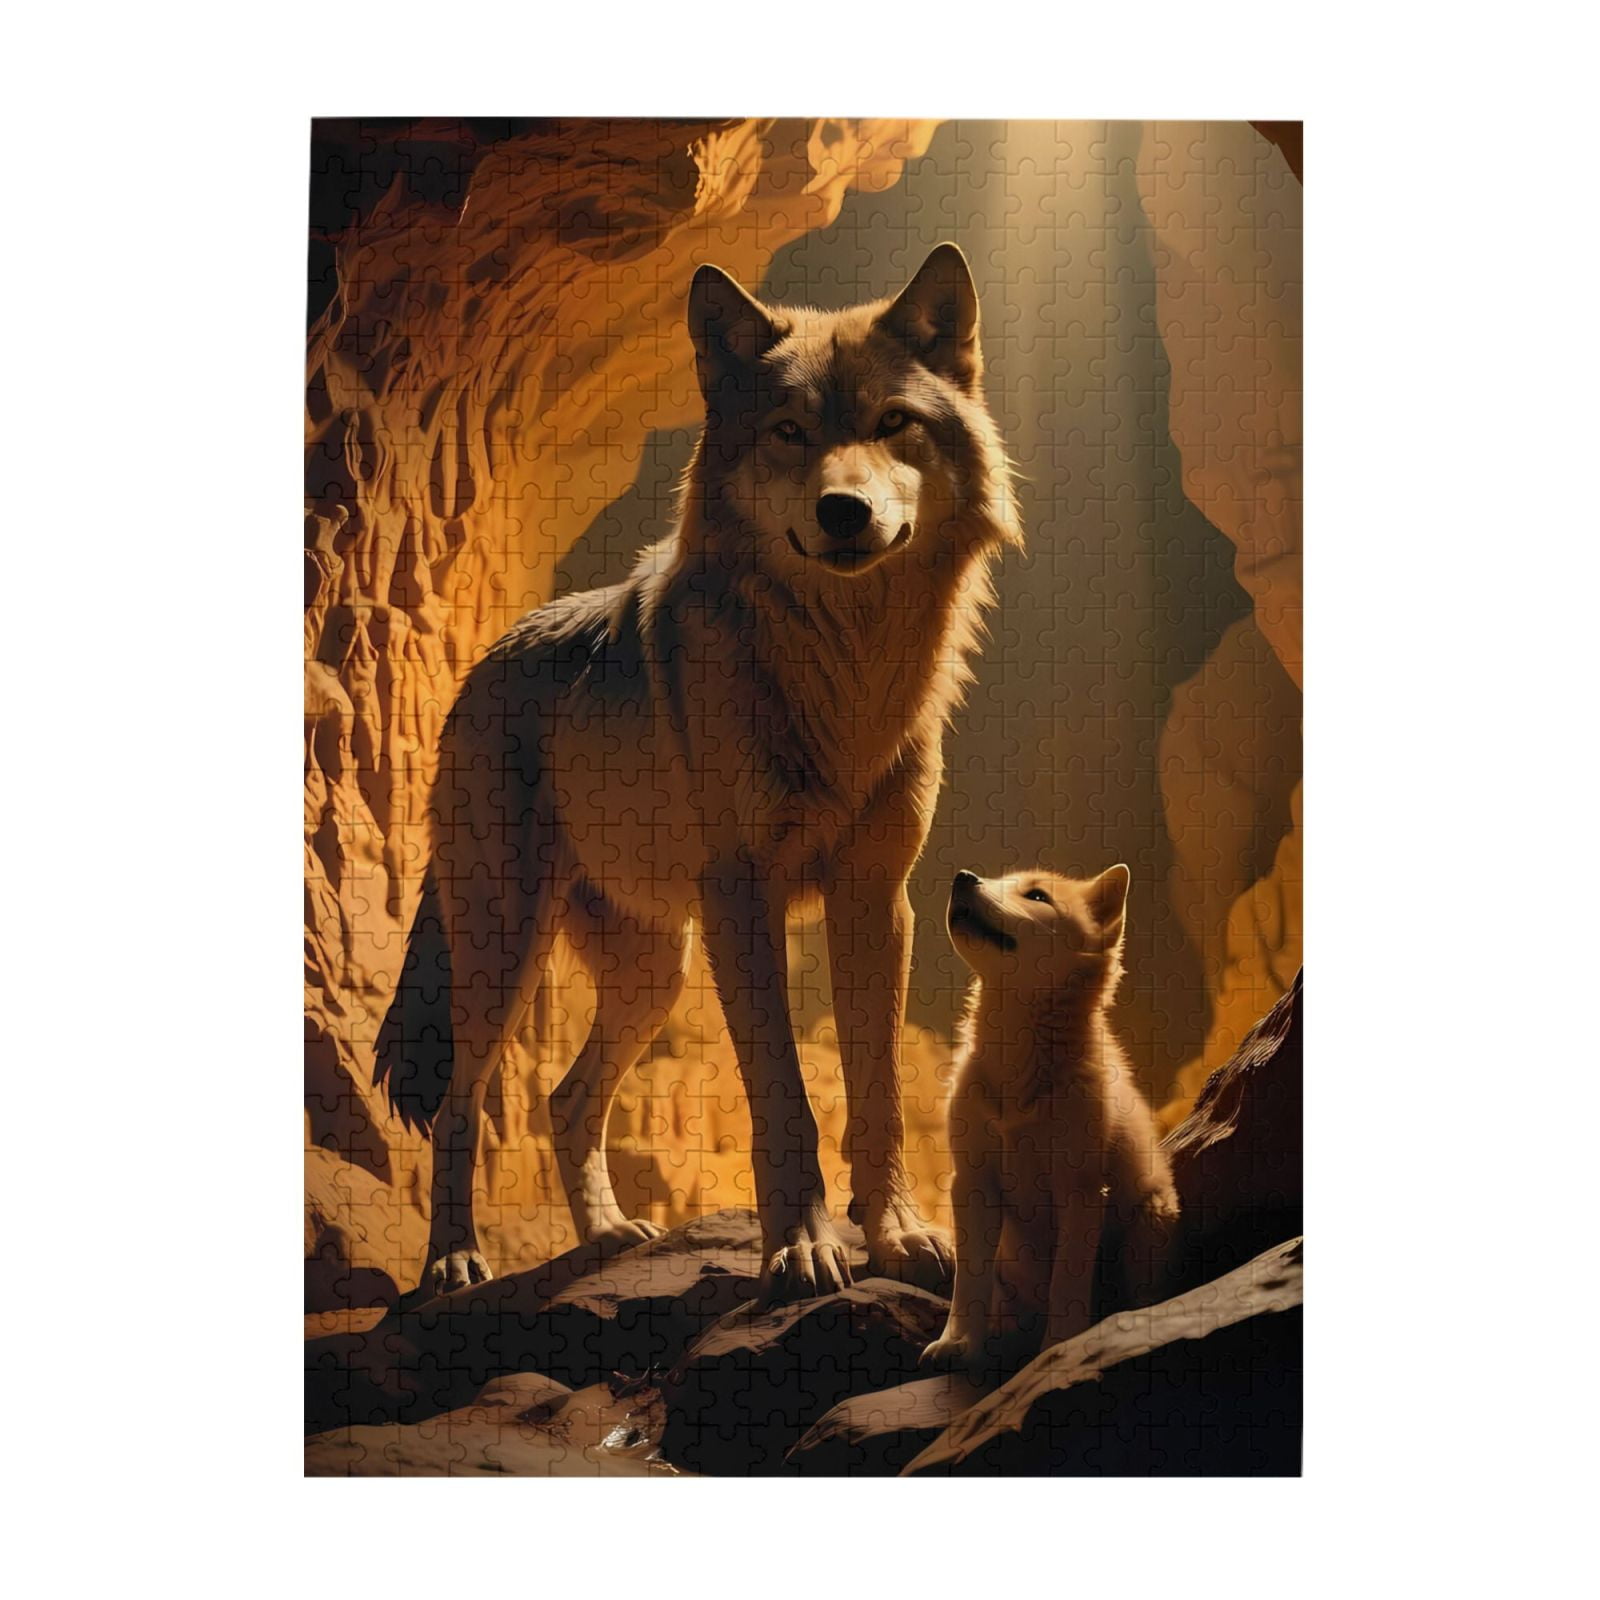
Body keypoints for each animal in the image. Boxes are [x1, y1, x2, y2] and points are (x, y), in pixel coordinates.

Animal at [375, 244, 1022, 1302]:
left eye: (893, 423)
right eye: (789, 432)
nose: (844, 511)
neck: (841, 675)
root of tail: (484, 660)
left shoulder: (875, 896)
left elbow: (877, 1094)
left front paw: (897, 1237)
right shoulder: (740, 899)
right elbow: (786, 1099)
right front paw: (799, 1249)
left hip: (654, 971)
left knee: (565, 1101)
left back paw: (607, 1238)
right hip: (509, 955)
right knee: (464, 1105)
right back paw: (455, 1262)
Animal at [920, 865, 1179, 1373]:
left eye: (1037, 896)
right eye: (999, 879)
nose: (964, 876)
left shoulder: (1080, 1190)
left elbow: (1068, 1286)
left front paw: (1058, 1349)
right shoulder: (973, 1184)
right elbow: (969, 1284)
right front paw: (958, 1344)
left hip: (1153, 1219)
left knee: (1137, 1299)